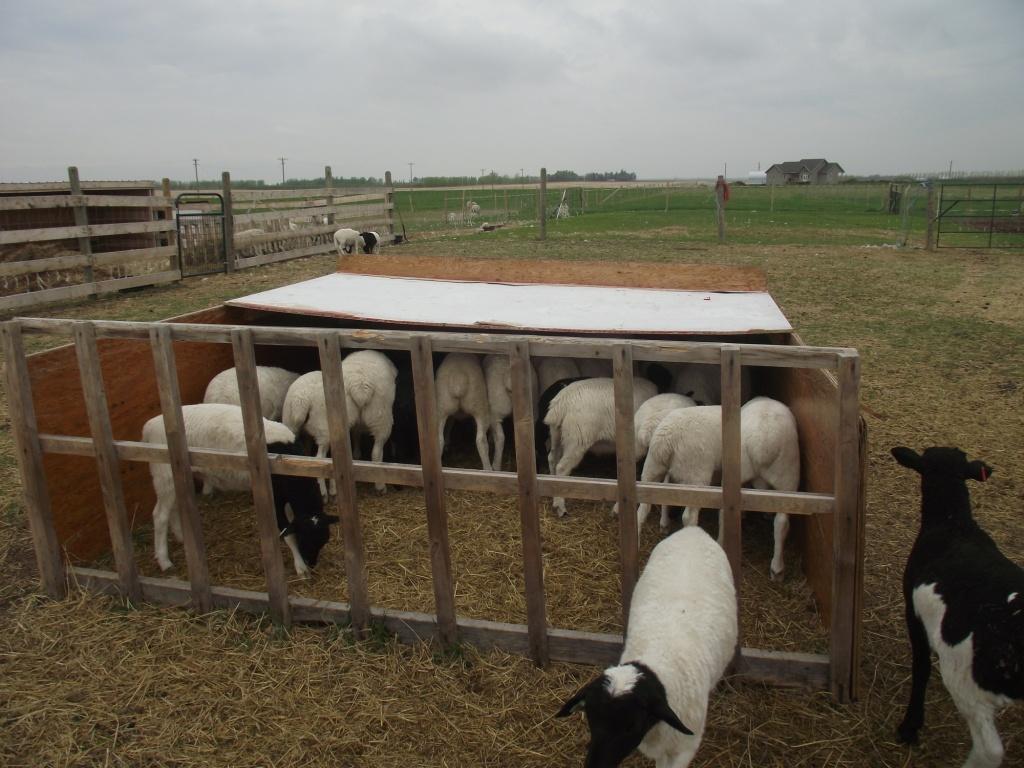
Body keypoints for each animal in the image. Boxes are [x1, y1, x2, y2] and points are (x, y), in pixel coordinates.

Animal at [142, 403, 337, 578]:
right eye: (306, 537)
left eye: (324, 540)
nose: (311, 563)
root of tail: (148, 427)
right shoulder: (274, 497)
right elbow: (287, 533)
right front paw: (300, 567)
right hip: (163, 473)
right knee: (159, 515)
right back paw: (164, 561)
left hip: (175, 477)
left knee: (173, 508)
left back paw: (181, 537)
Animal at [544, 377, 658, 517]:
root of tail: (562, 402)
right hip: (577, 439)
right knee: (561, 467)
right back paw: (560, 506)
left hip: (556, 433)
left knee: (552, 458)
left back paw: (553, 493)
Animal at [556, 525, 737, 768]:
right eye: (591, 718)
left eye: (631, 725)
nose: (595, 765)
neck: (657, 660)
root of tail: (693, 529)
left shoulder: (684, 749)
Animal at [892, 446, 1022, 768]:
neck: (953, 523)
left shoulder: (913, 613)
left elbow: (921, 667)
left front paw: (910, 726)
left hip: (968, 685)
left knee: (990, 749)